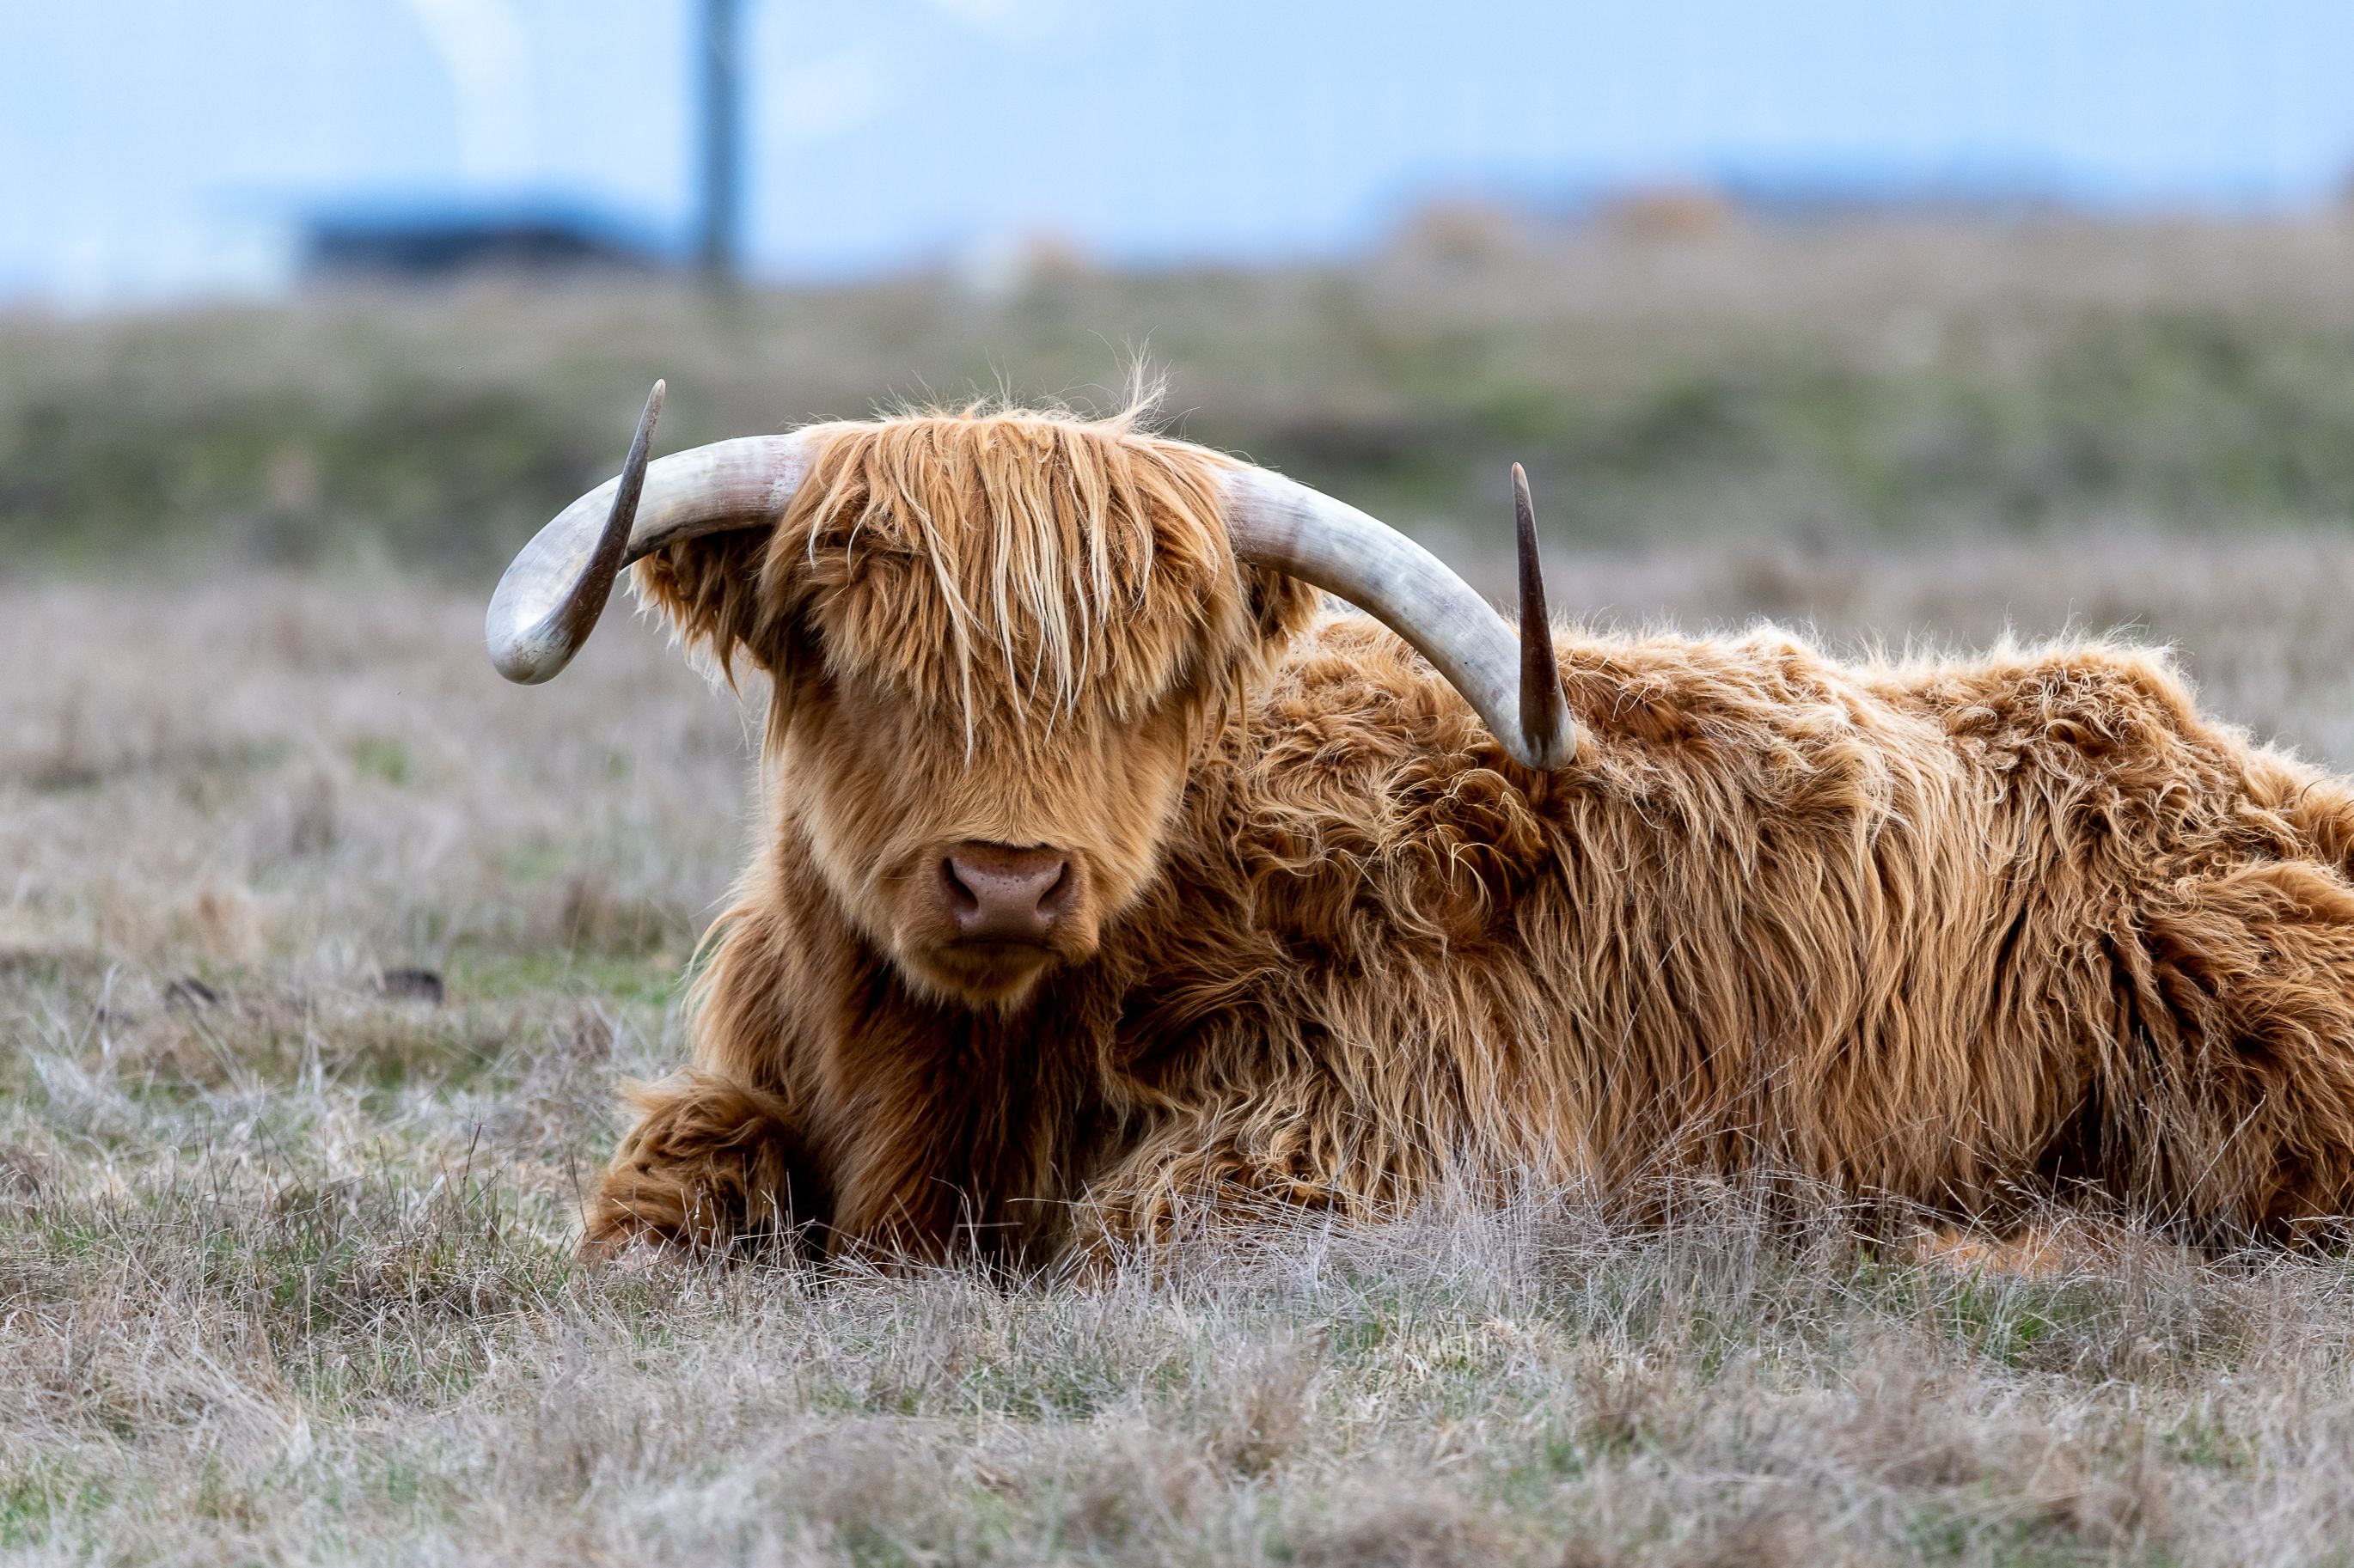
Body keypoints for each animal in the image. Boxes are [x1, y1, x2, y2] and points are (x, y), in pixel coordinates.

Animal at [486, 382, 2354, 1266]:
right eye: (848, 645)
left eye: (1153, 675)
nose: (1005, 877)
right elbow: (656, 1201)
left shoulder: (1381, 1130)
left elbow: (1136, 1228)